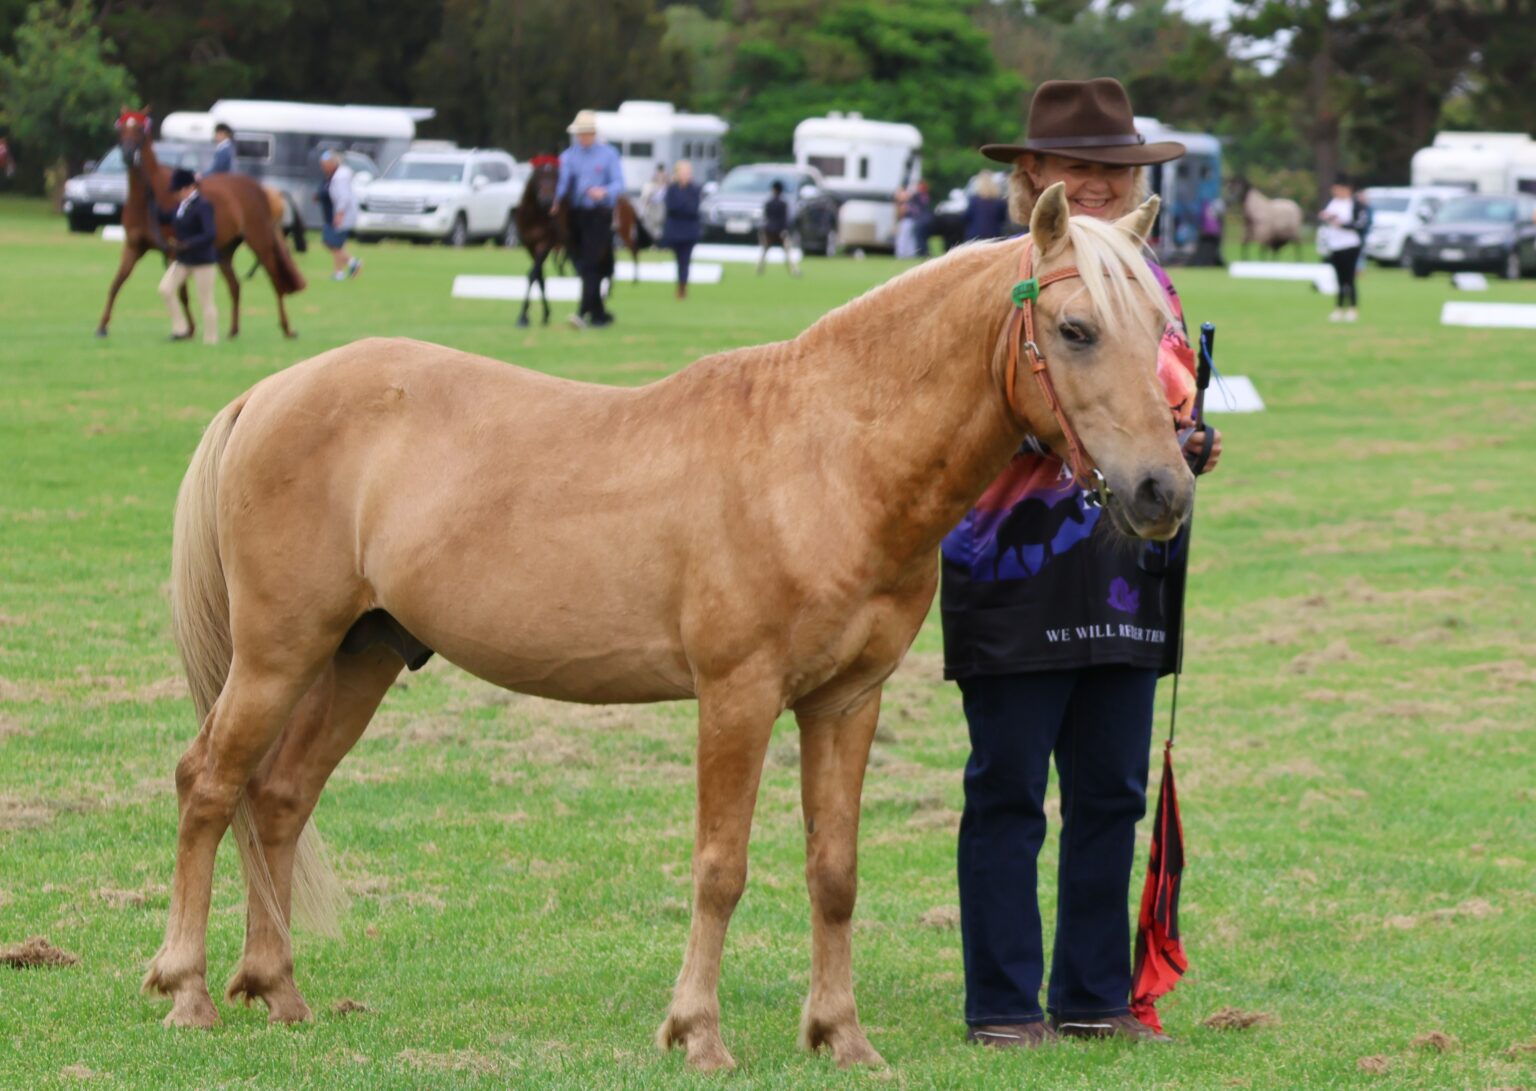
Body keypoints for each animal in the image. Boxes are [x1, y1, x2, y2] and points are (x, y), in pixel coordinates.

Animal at [96, 109, 305, 340]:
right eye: (121, 128)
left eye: (140, 129)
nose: (127, 154)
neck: (148, 198)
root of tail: (261, 189)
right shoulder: (134, 248)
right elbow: (116, 284)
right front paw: (102, 327)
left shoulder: (174, 252)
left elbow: (181, 293)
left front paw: (188, 330)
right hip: (224, 252)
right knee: (235, 286)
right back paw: (233, 331)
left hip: (259, 242)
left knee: (275, 281)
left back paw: (287, 328)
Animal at [144, 184, 1193, 1070]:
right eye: (1075, 328)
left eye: (1164, 333)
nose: (1163, 490)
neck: (824, 459)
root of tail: (267, 393)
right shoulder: (737, 698)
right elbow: (720, 868)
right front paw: (698, 1032)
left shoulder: (846, 702)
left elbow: (835, 871)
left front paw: (841, 1036)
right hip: (279, 654)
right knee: (209, 785)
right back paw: (187, 990)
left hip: (359, 654)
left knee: (279, 796)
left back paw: (278, 990)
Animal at [515, 161, 642, 326]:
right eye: (537, 178)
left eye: (556, 179)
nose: (548, 201)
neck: (535, 215)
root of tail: (626, 201)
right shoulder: (530, 245)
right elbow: (539, 277)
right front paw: (543, 315)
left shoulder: (547, 243)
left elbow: (533, 274)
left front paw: (523, 316)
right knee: (595, 271)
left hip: (613, 238)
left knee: (608, 267)